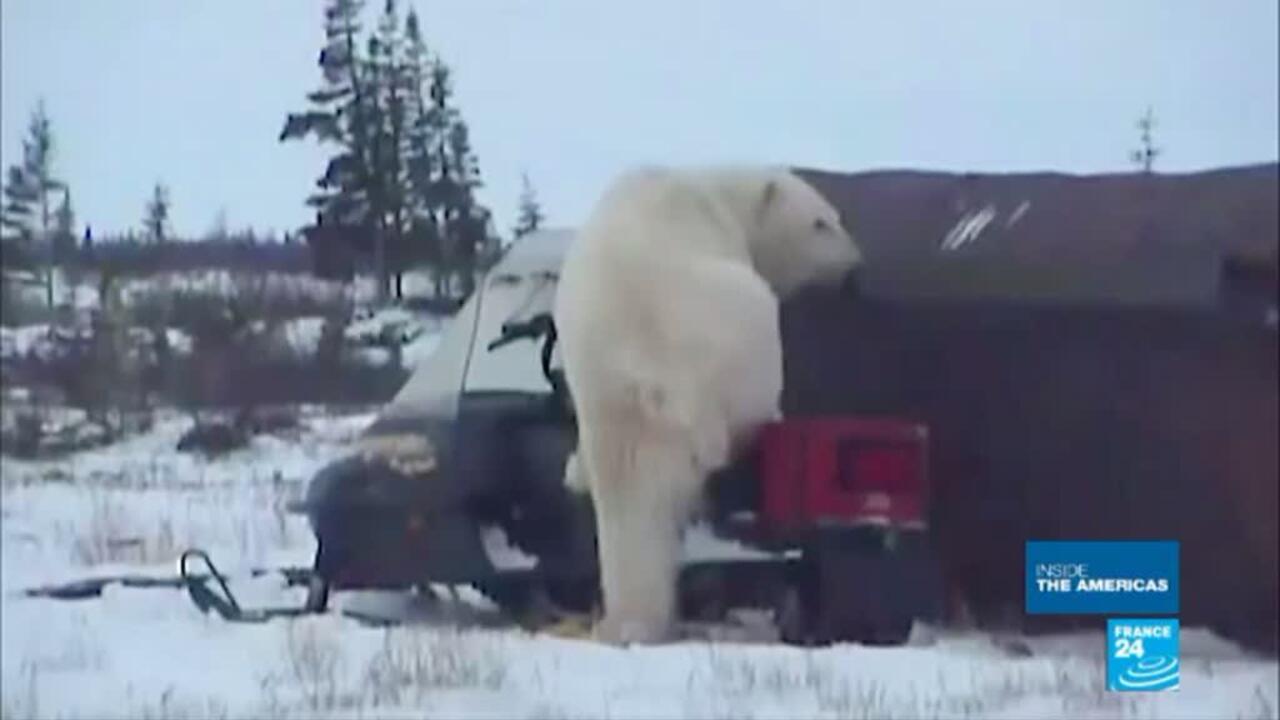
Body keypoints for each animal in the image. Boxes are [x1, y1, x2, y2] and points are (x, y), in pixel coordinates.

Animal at [553, 165, 862, 644]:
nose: (855, 267)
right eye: (820, 223)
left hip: (596, 389)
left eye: (834, 218)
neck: (715, 190)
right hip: (739, 330)